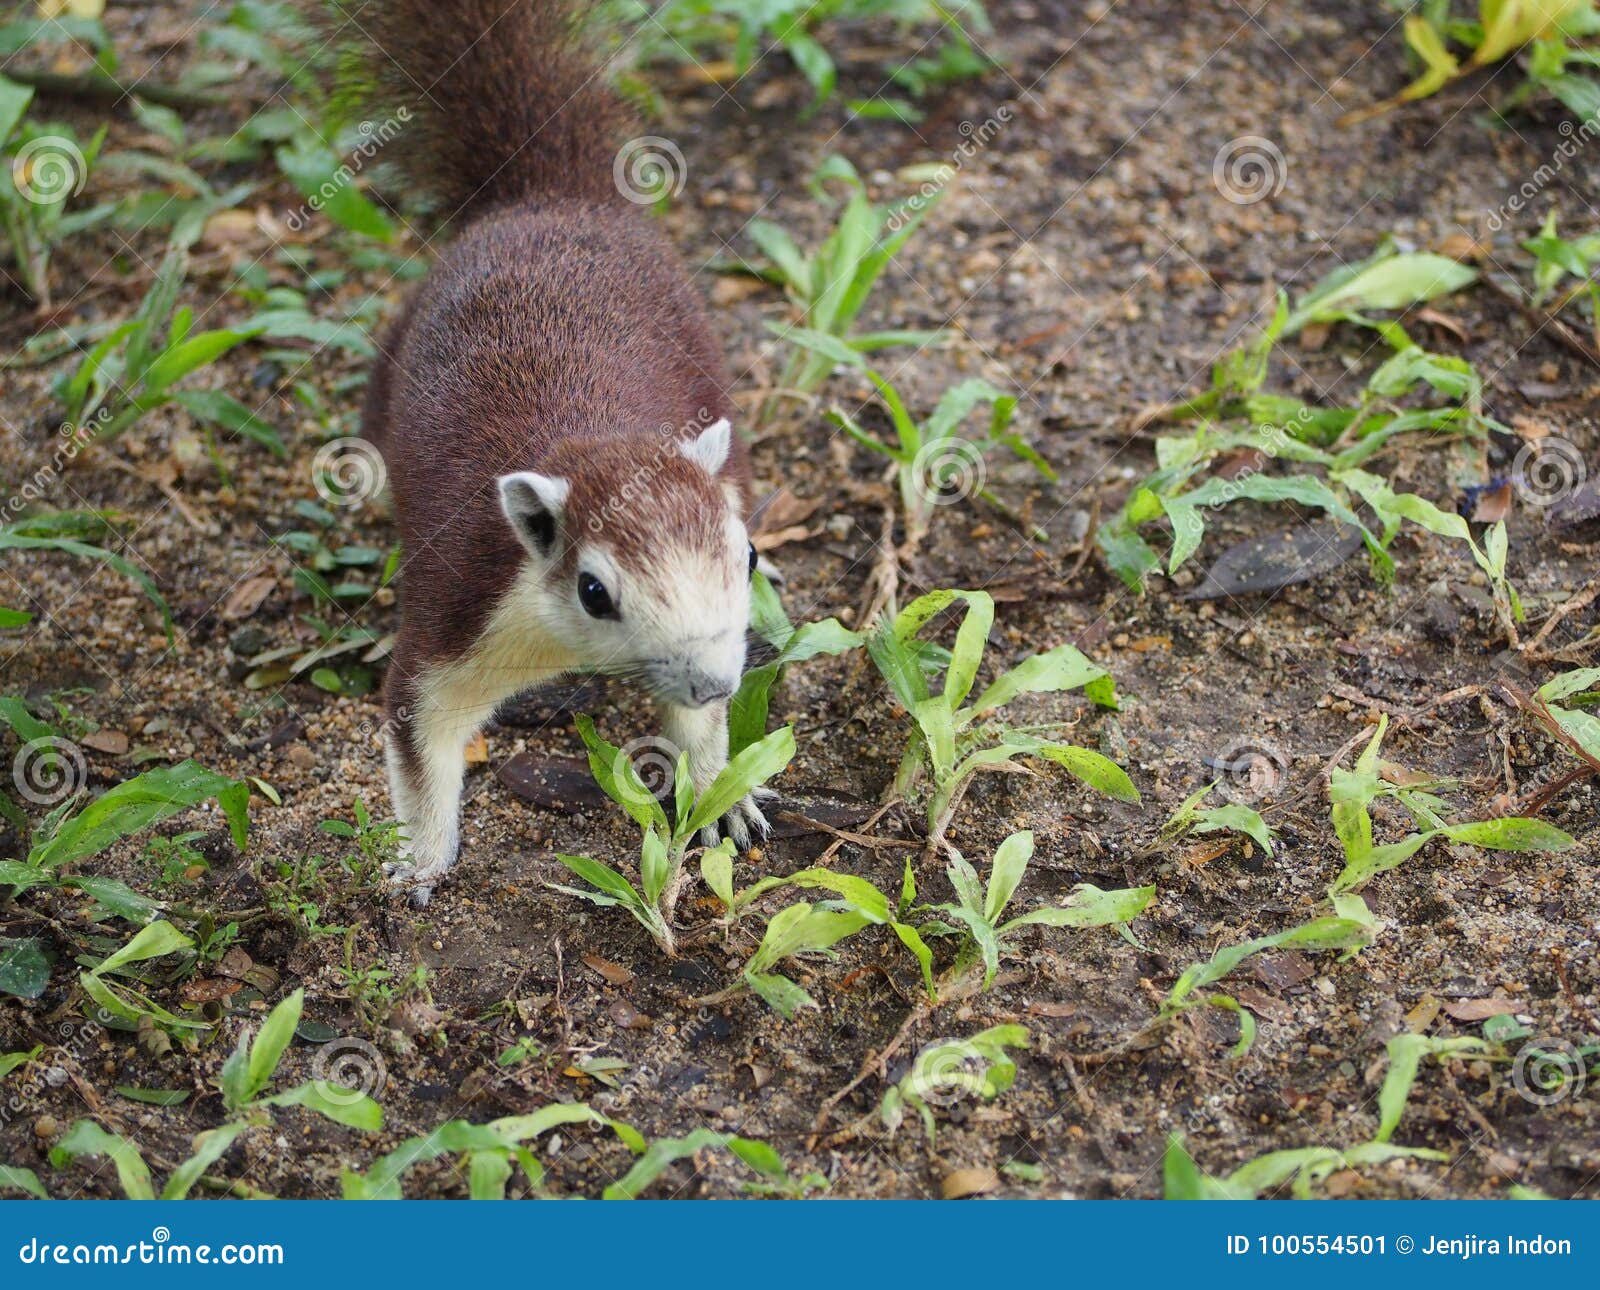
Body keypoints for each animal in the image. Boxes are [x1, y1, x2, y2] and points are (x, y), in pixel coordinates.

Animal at [325, 0, 767, 905]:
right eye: (594, 591)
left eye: (747, 558)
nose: (718, 680)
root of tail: (548, 197)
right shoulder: (459, 605)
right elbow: (420, 736)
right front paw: (417, 862)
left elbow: (694, 730)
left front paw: (720, 794)